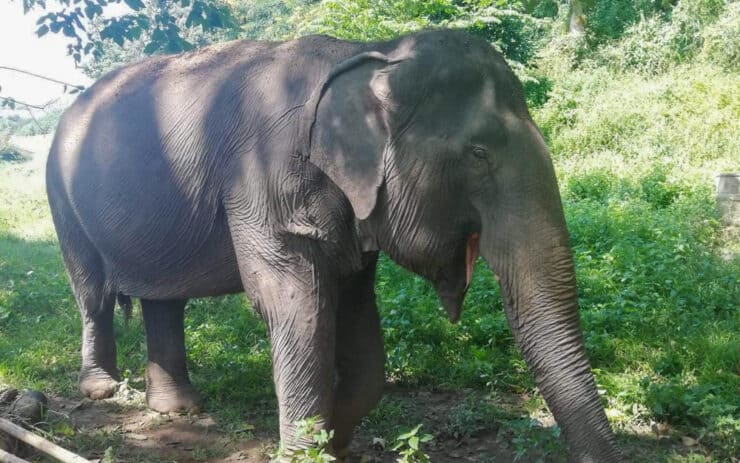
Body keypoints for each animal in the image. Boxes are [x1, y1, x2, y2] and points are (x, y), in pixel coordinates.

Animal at [46, 29, 625, 461]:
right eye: (478, 154)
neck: (370, 54)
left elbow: (355, 310)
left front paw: (338, 444)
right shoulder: (264, 180)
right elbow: (297, 305)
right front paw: (307, 452)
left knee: (163, 300)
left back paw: (179, 410)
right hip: (61, 198)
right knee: (92, 293)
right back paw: (102, 390)